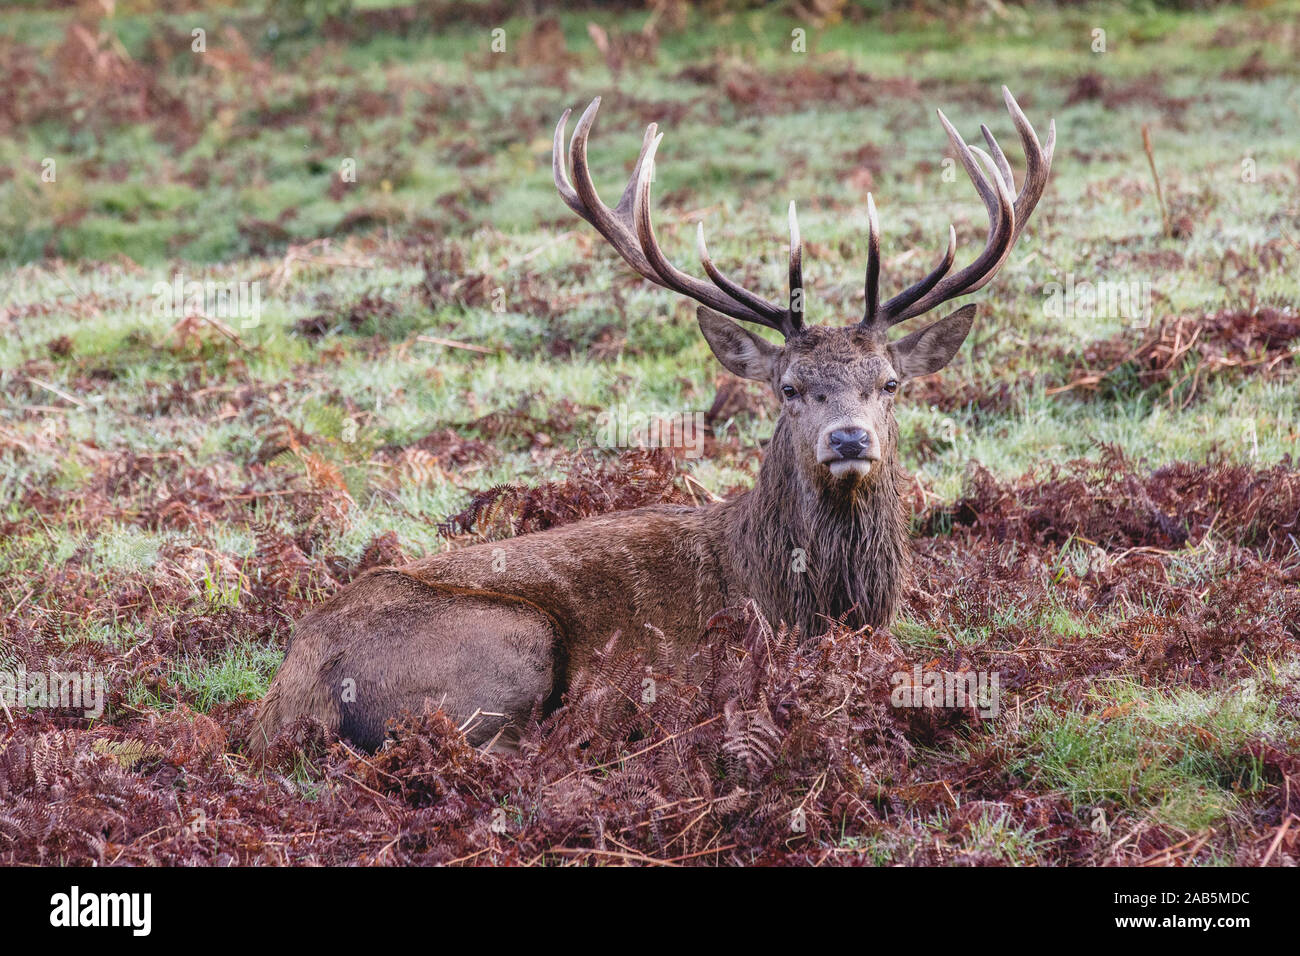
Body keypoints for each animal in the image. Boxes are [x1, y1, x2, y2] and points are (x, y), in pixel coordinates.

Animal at [250, 88, 1054, 754]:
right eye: (789, 388)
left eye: (889, 383)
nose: (850, 438)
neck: (805, 600)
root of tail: (288, 699)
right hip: (509, 638)